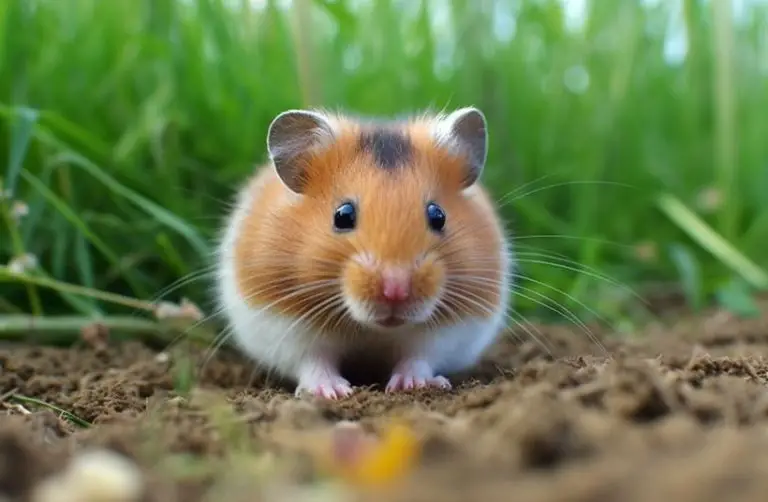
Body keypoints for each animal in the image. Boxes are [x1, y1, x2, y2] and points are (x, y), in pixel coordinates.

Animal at [215, 106, 512, 399]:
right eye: (343, 215)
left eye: (438, 216)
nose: (396, 290)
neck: (371, 328)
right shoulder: (281, 324)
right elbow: (313, 361)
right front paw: (332, 392)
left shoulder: (452, 330)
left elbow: (419, 357)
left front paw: (412, 385)